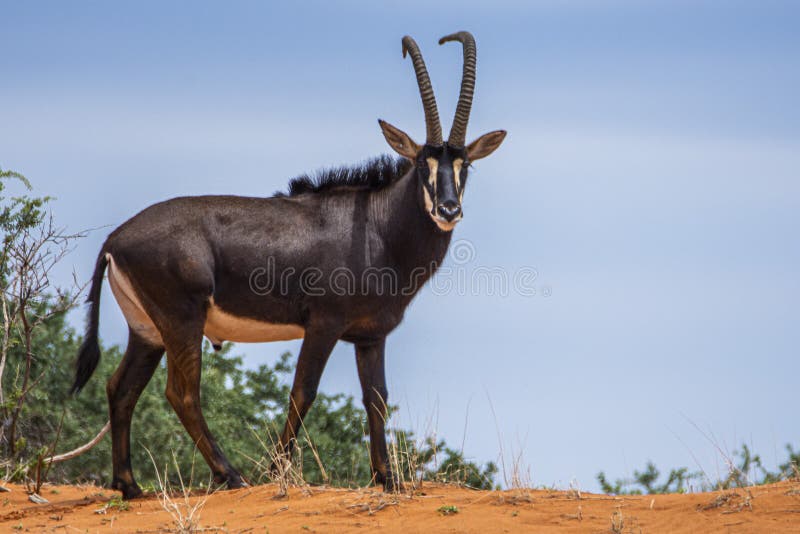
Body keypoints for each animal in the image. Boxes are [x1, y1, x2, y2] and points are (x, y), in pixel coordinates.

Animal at [72, 31, 505, 499]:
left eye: (465, 165)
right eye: (422, 163)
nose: (448, 209)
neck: (378, 225)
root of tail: (115, 239)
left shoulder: (371, 337)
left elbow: (377, 399)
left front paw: (387, 480)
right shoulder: (323, 325)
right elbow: (303, 391)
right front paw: (276, 472)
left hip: (147, 332)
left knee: (121, 388)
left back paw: (129, 485)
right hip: (182, 320)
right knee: (181, 393)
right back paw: (231, 476)